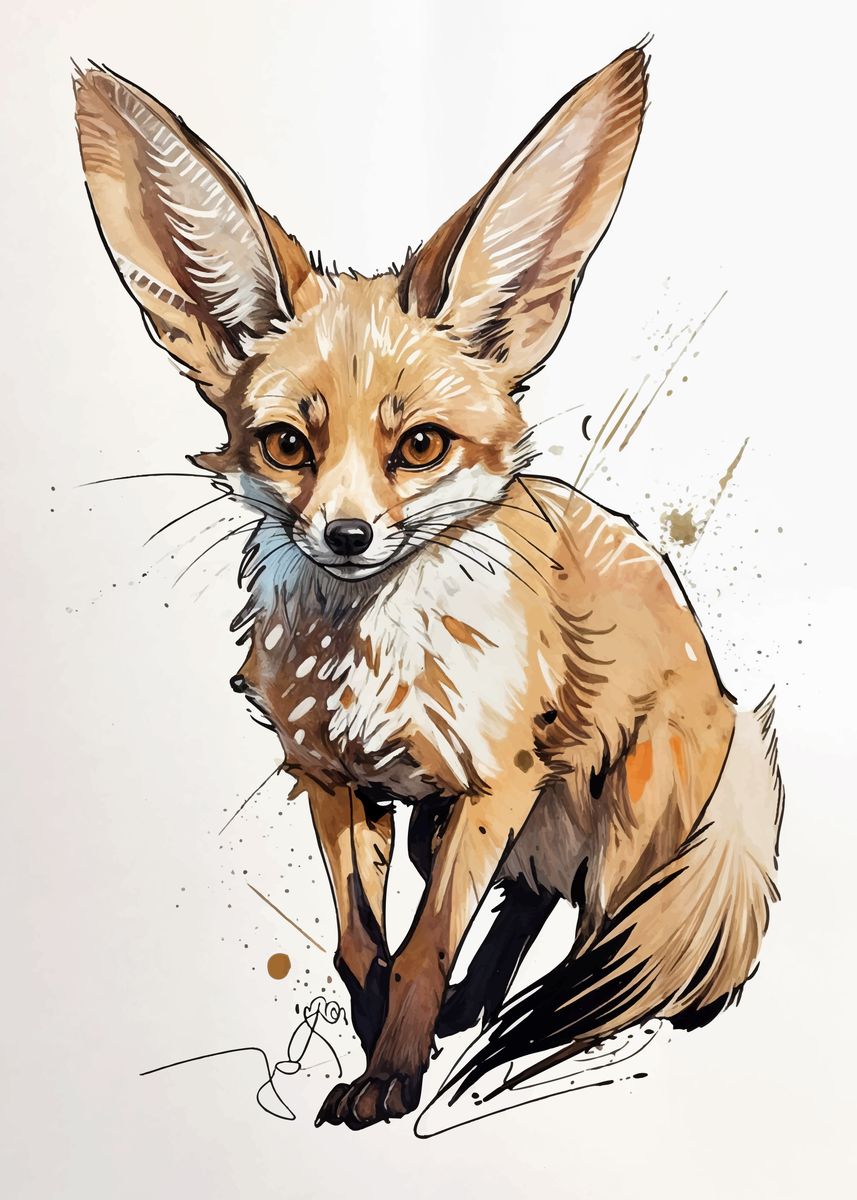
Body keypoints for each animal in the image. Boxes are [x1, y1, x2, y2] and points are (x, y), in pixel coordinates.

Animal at [74, 45, 783, 1131]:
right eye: (287, 444)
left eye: (418, 447)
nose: (347, 535)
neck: (372, 676)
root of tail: (732, 706)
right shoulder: (336, 783)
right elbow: (363, 945)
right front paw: (378, 1043)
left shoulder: (493, 783)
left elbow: (421, 948)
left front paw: (392, 1078)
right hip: (449, 829)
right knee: (531, 899)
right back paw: (476, 1010)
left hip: (619, 825)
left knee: (596, 936)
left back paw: (510, 1044)